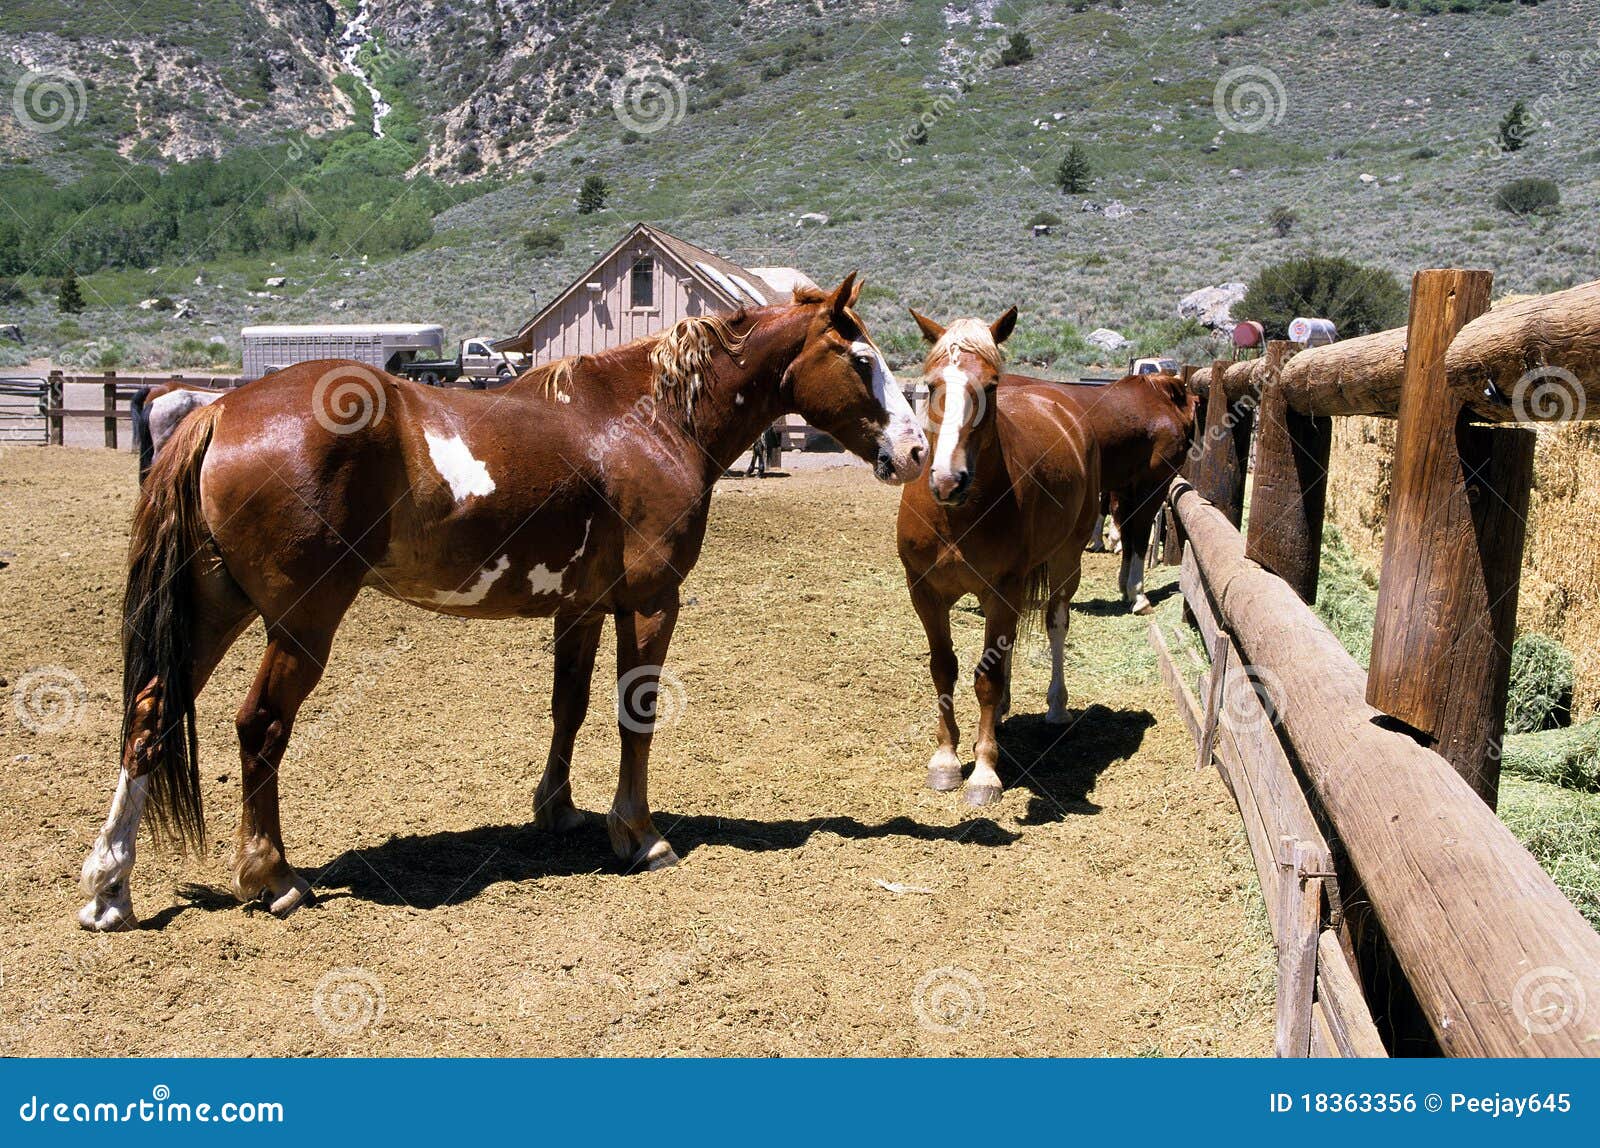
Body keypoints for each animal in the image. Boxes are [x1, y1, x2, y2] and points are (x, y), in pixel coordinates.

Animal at [78, 274, 927, 931]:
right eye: (861, 359)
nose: (918, 450)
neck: (649, 420)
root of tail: (218, 410)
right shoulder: (652, 602)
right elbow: (637, 713)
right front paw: (638, 833)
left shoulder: (583, 607)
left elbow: (570, 706)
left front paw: (558, 809)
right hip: (301, 622)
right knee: (259, 727)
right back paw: (271, 877)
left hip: (214, 610)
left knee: (150, 715)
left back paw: (109, 886)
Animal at [895, 309, 1101, 807]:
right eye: (930, 384)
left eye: (989, 386)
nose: (948, 480)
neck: (955, 514)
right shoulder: (924, 591)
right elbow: (944, 668)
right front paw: (946, 760)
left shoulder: (1004, 589)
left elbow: (985, 679)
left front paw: (984, 773)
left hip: (1066, 561)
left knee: (1056, 622)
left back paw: (1056, 707)